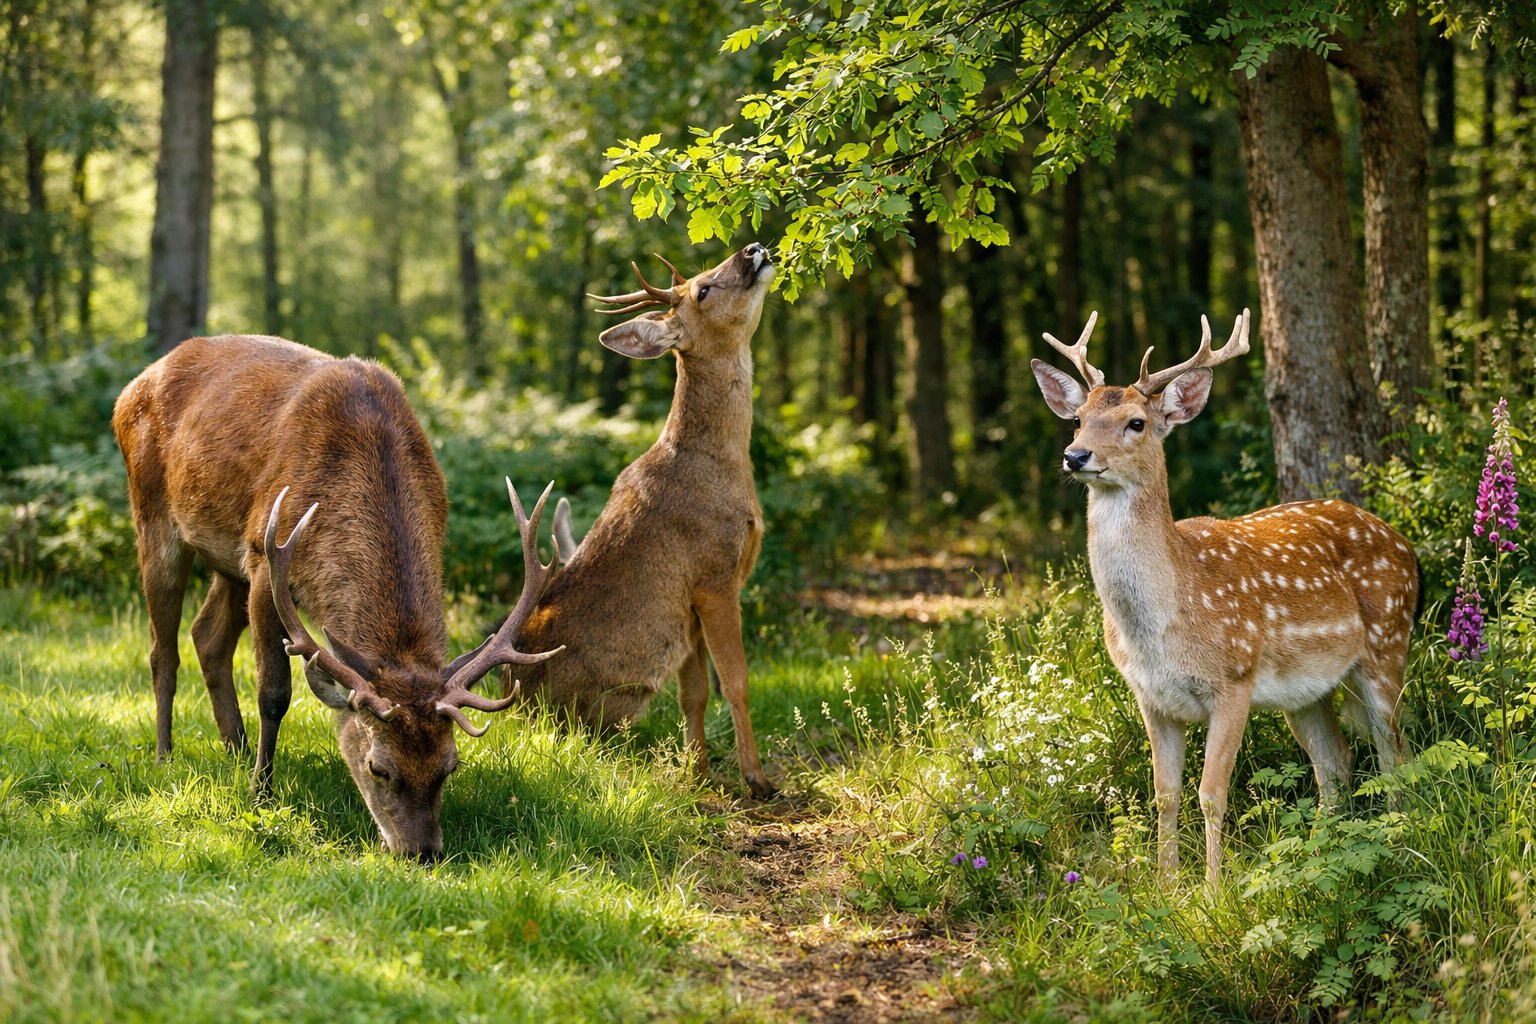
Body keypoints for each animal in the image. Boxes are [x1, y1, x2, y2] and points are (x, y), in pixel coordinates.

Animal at [112, 335, 561, 861]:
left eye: (450, 767)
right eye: (378, 767)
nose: (422, 851)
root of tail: (131, 387)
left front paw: (252, 773)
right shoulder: (266, 557)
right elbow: (274, 693)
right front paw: (261, 793)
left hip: (226, 557)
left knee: (207, 636)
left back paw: (235, 749)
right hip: (154, 515)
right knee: (163, 650)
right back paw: (167, 754)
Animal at [501, 242, 778, 798]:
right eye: (704, 289)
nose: (753, 248)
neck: (723, 466)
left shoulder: (688, 601)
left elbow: (695, 693)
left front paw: (699, 773)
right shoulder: (714, 574)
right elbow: (736, 681)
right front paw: (756, 779)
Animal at [1030, 309, 1420, 885]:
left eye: (1136, 423)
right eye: (1077, 419)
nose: (1075, 456)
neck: (1161, 625)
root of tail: (1406, 546)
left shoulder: (1234, 678)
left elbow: (1211, 793)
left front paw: (1214, 889)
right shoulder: (1150, 697)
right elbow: (1165, 795)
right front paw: (1166, 885)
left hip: (1387, 647)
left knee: (1395, 754)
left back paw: (1397, 840)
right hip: (1306, 691)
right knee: (1335, 761)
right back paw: (1320, 854)